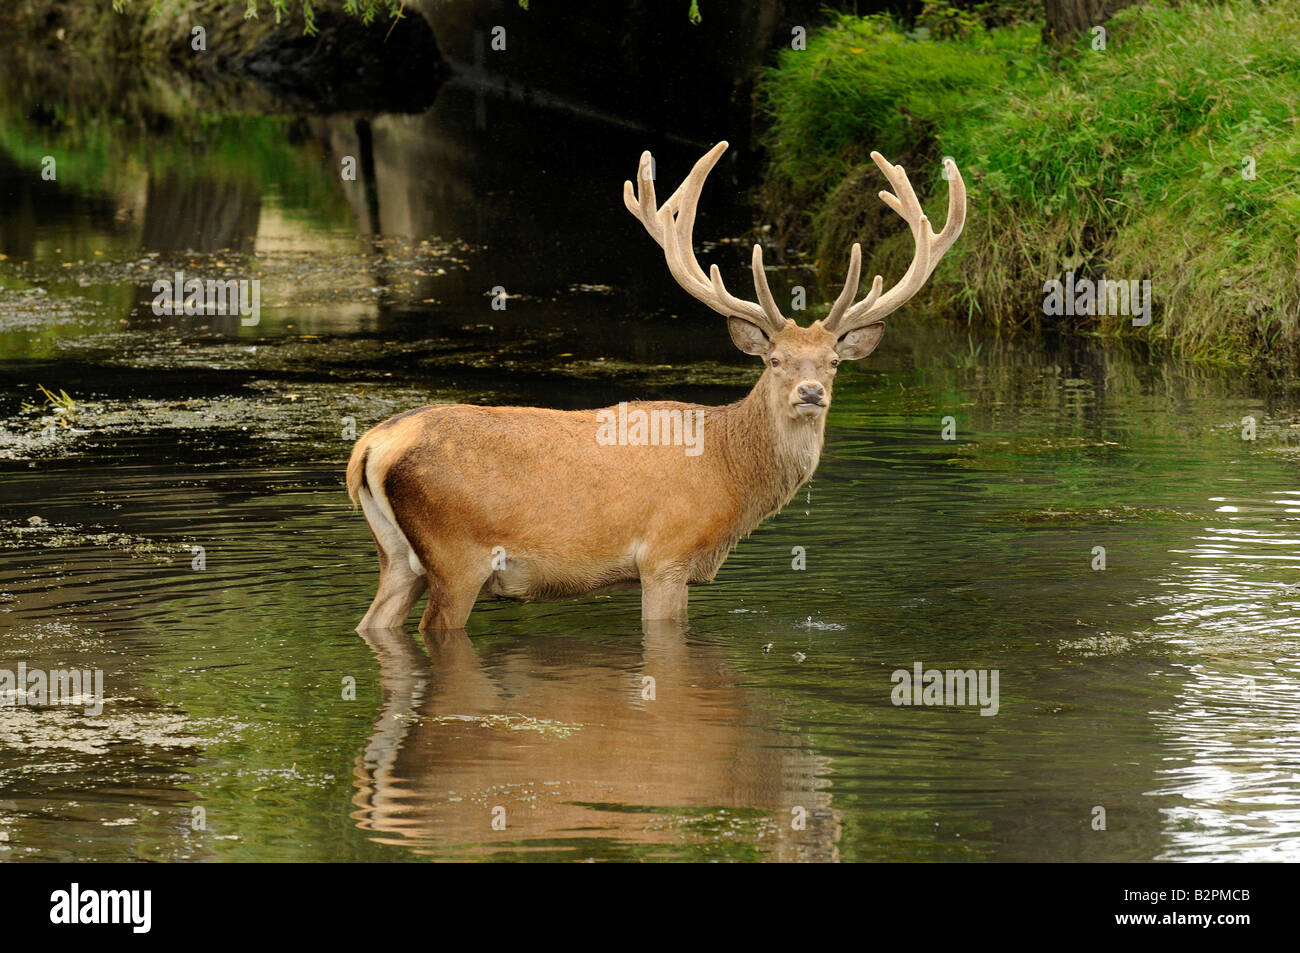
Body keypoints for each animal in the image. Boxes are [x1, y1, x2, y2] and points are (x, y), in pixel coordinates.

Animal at [346, 141, 965, 631]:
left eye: (834, 361)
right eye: (775, 361)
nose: (810, 392)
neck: (727, 471)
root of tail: (371, 447)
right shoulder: (667, 555)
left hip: (397, 557)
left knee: (374, 622)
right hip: (457, 556)